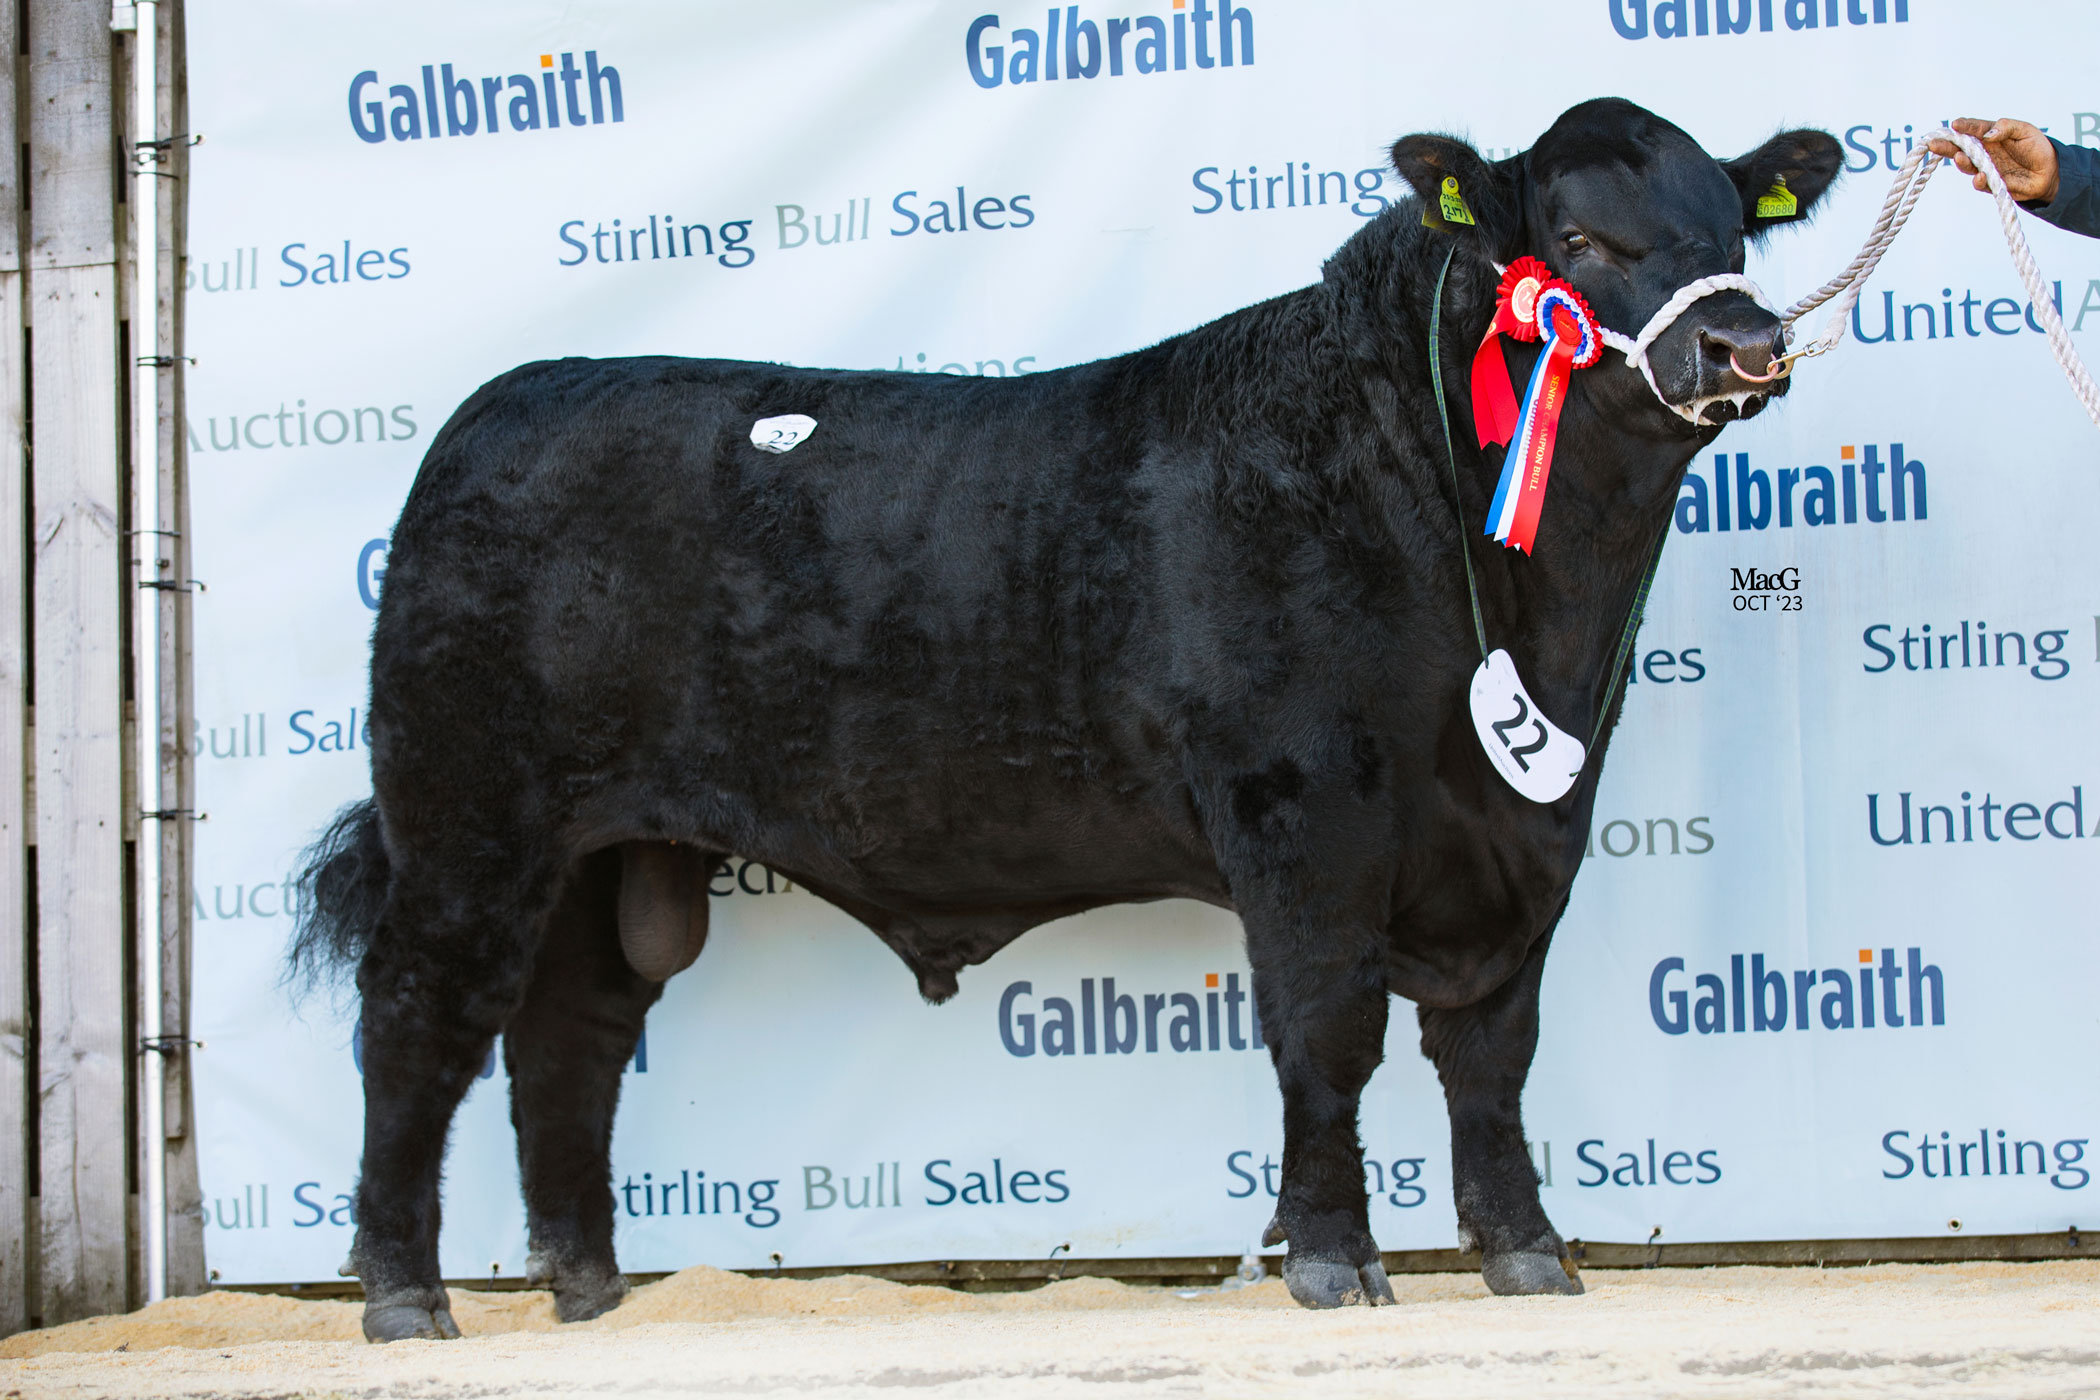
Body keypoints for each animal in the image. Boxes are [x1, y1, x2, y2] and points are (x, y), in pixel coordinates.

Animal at [292, 97, 1842, 1341]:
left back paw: (590, 1289)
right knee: (419, 1020)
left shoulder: (1529, 830)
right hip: (469, 818)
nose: (1743, 342)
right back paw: (405, 1296)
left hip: (607, 852)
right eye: (1578, 239)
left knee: (570, 1034)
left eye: (1735, 230)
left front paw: (1528, 1254)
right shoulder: (1306, 811)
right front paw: (1334, 1263)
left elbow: (1493, 1052)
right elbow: (1330, 1030)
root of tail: (507, 404)